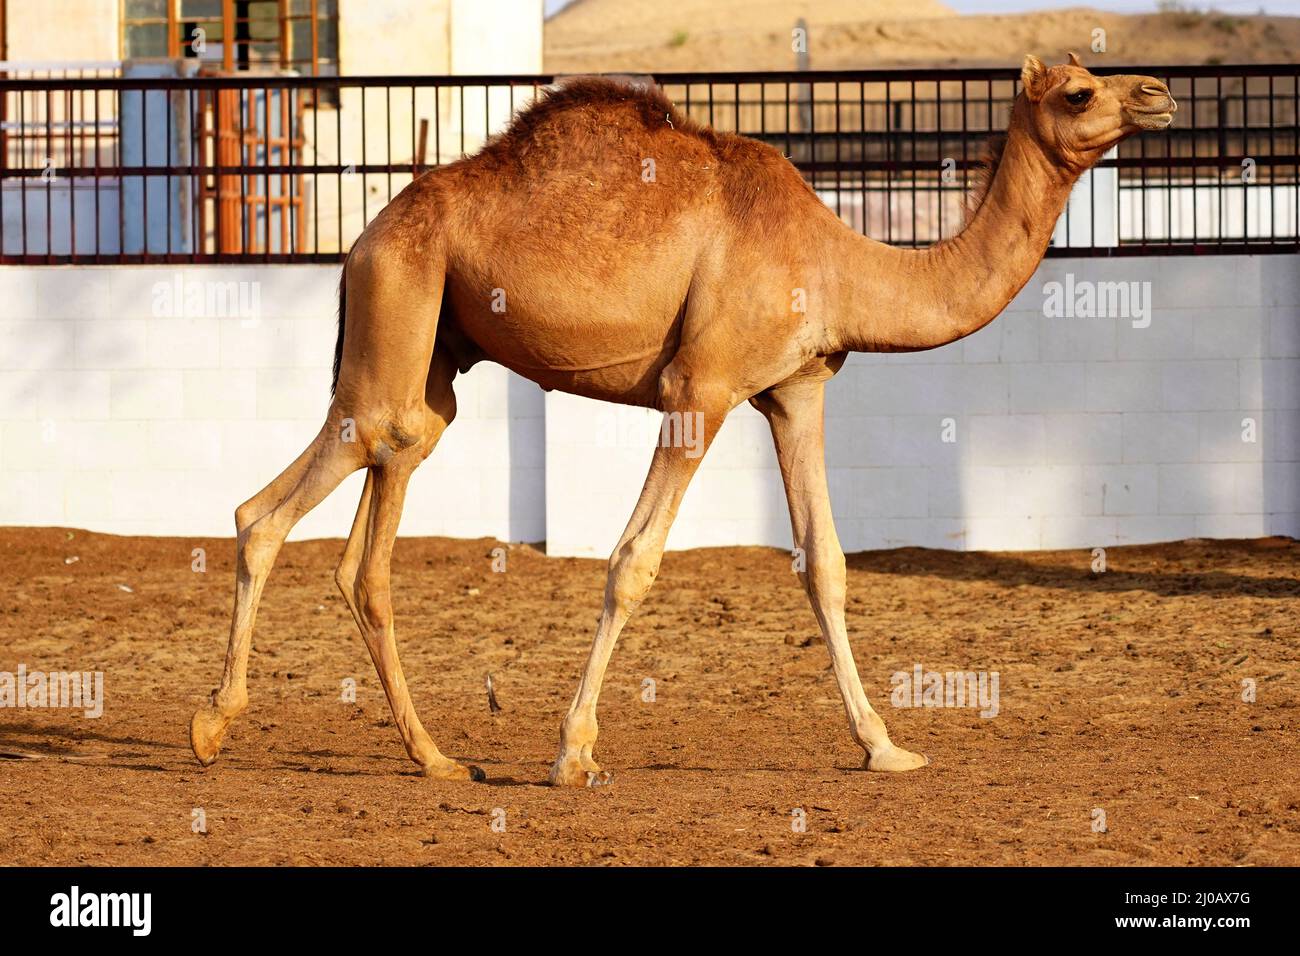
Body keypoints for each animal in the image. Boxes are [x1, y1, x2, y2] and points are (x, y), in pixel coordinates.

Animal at [190, 54, 1175, 785]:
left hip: (431, 358)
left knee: (370, 527)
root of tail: (359, 241)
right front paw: (574, 754)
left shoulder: (796, 389)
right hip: (396, 311)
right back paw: (212, 728)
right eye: (1079, 91)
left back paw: (433, 758)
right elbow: (632, 563)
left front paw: (886, 746)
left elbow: (826, 565)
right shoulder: (701, 389)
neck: (839, 261)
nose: (1159, 93)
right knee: (280, 507)